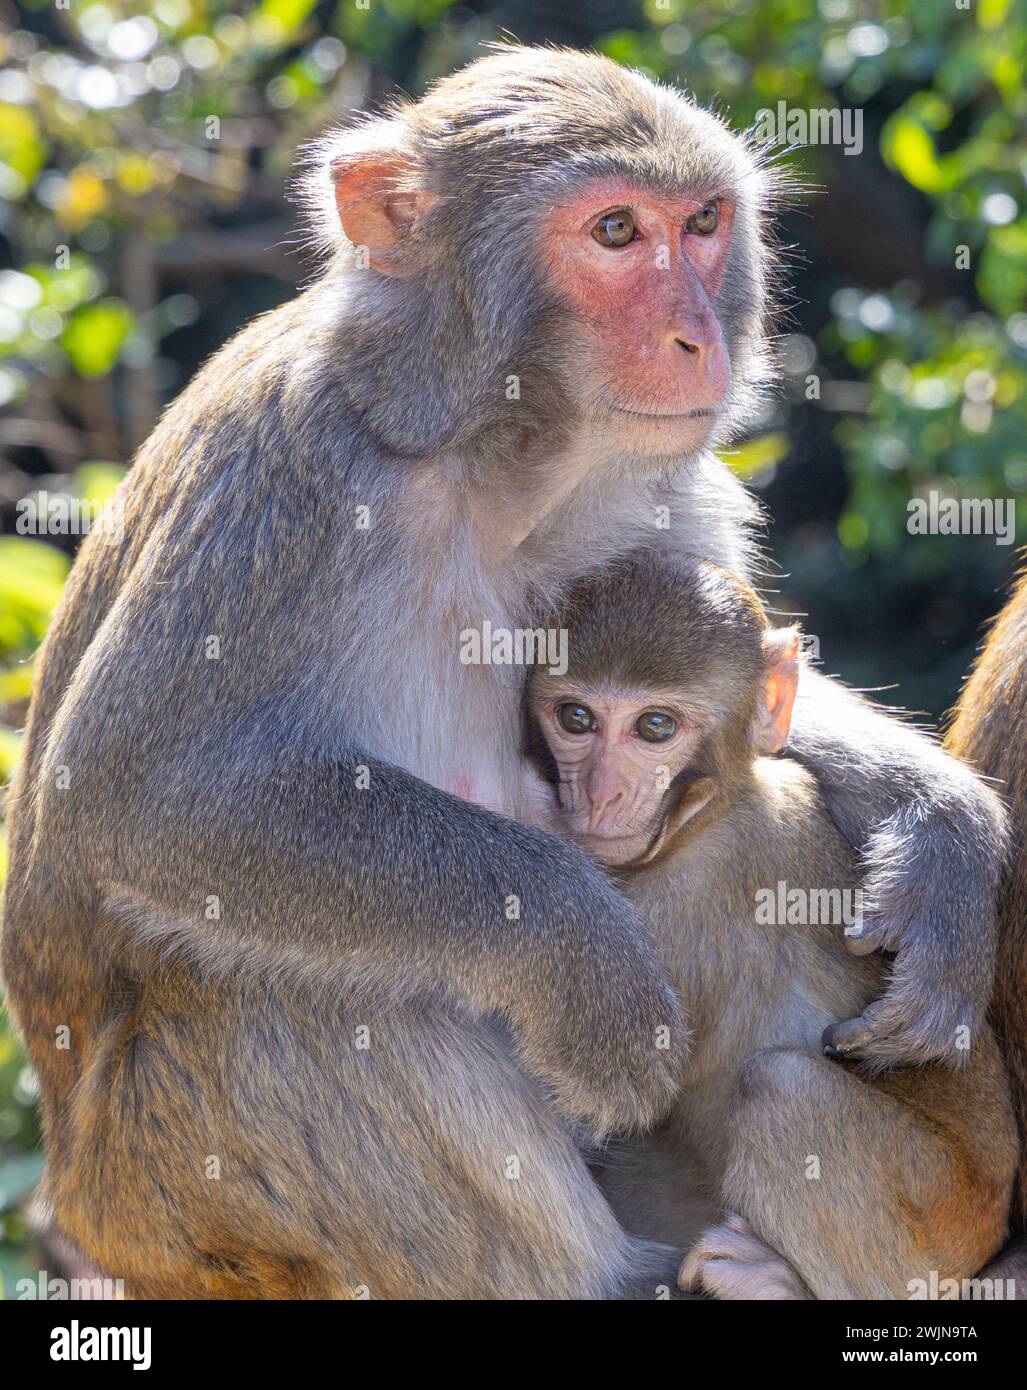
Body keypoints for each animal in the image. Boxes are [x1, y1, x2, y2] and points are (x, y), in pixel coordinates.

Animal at [524, 551, 1018, 1300]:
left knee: (780, 1094)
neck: (707, 809)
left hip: (943, 1222)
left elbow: (617, 1098)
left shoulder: (683, 897)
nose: (602, 793)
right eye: (575, 717)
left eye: (655, 728)